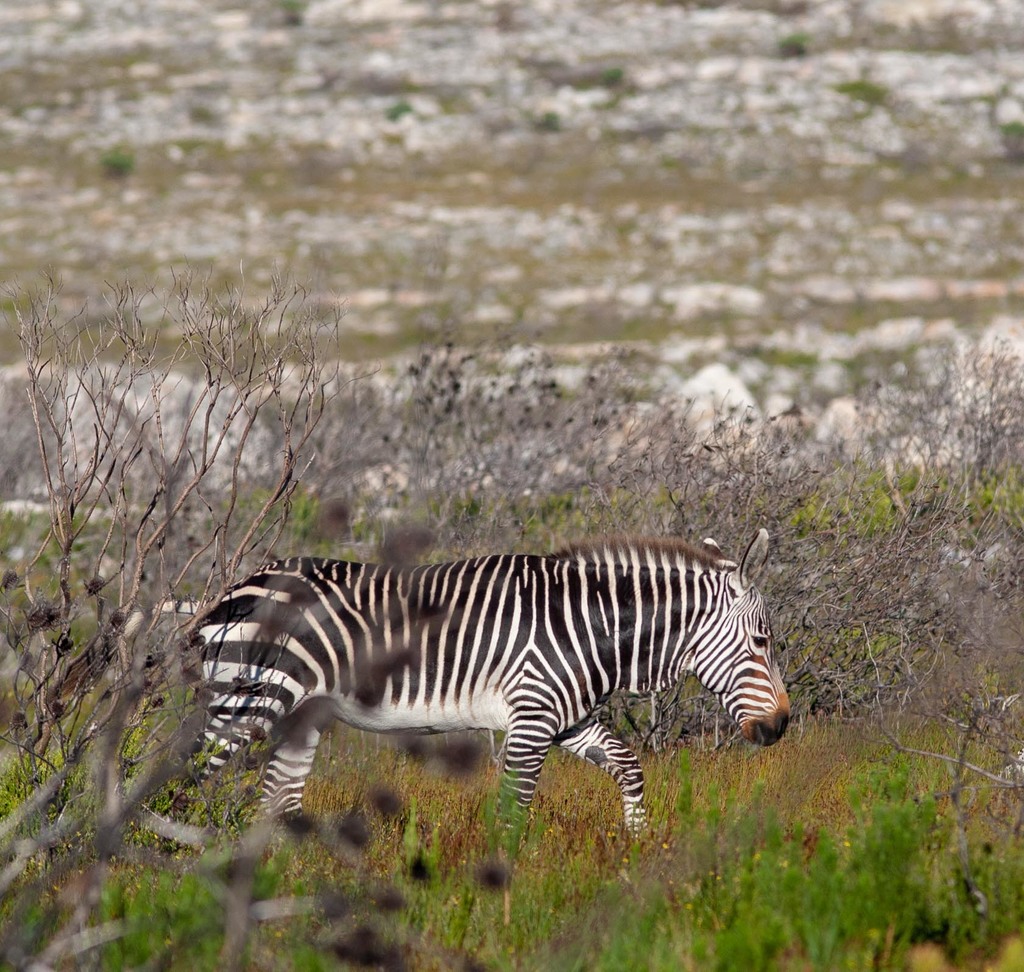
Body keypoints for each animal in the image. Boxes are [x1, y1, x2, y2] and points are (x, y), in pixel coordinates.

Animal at [194, 529, 789, 829]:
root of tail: (234, 587)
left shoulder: (564, 718)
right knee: (194, 776)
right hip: (249, 703)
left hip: (299, 715)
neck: (588, 624)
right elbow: (513, 812)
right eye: (763, 641)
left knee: (278, 802)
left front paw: (636, 844)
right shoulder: (530, 722)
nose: (782, 725)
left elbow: (628, 765)